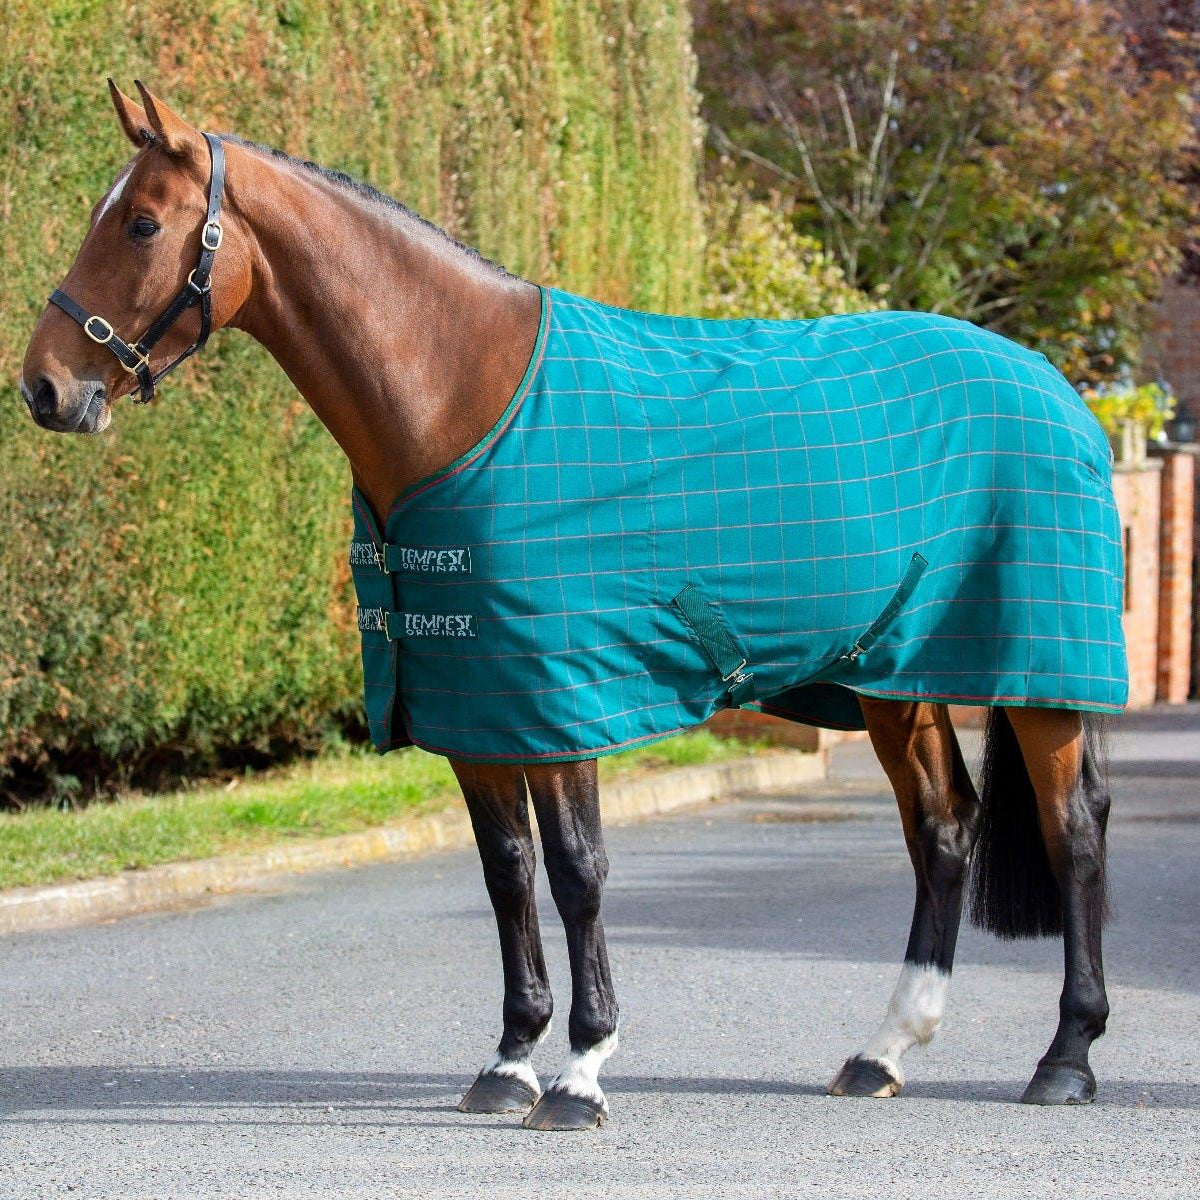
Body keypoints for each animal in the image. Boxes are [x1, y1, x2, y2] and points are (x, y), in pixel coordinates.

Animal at [19, 82, 1118, 1131]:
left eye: (143, 225)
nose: (44, 387)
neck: (462, 399)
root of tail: (1053, 387)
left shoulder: (560, 702)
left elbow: (579, 871)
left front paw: (583, 1073)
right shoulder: (474, 702)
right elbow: (508, 872)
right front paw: (510, 1062)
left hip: (1043, 675)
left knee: (1074, 828)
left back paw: (1065, 1059)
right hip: (896, 678)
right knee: (943, 828)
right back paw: (884, 1052)